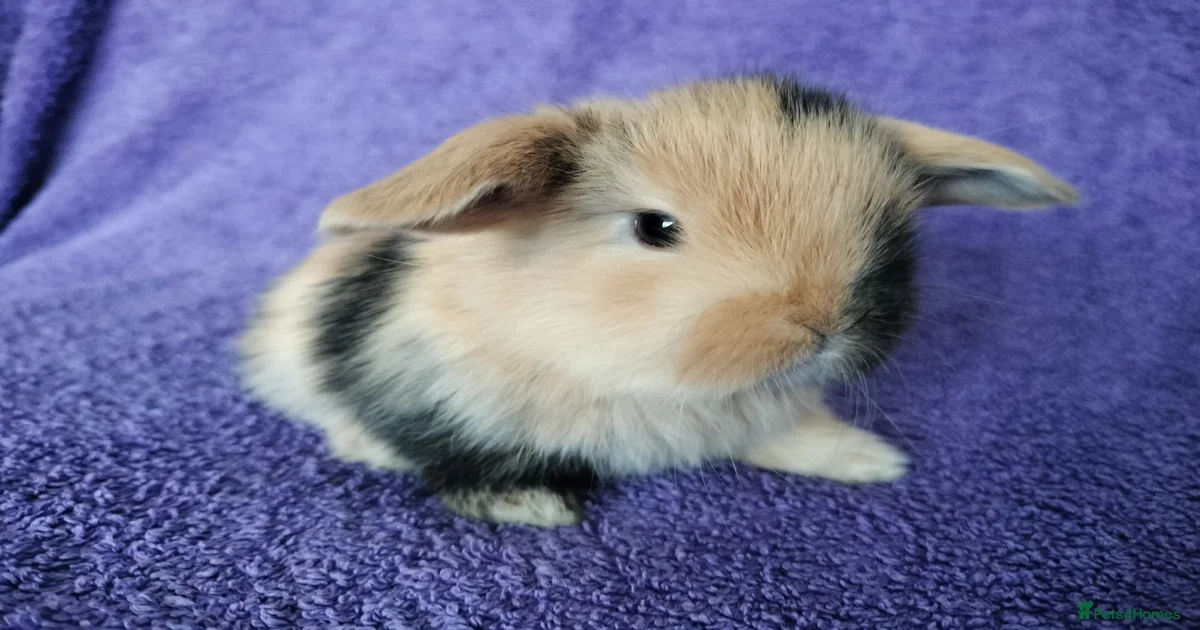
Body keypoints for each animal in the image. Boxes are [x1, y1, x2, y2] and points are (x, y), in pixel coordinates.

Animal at [239, 73, 1077, 527]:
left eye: (885, 222)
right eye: (655, 227)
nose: (820, 323)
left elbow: (792, 438)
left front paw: (871, 461)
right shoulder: (438, 405)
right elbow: (457, 463)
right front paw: (534, 507)